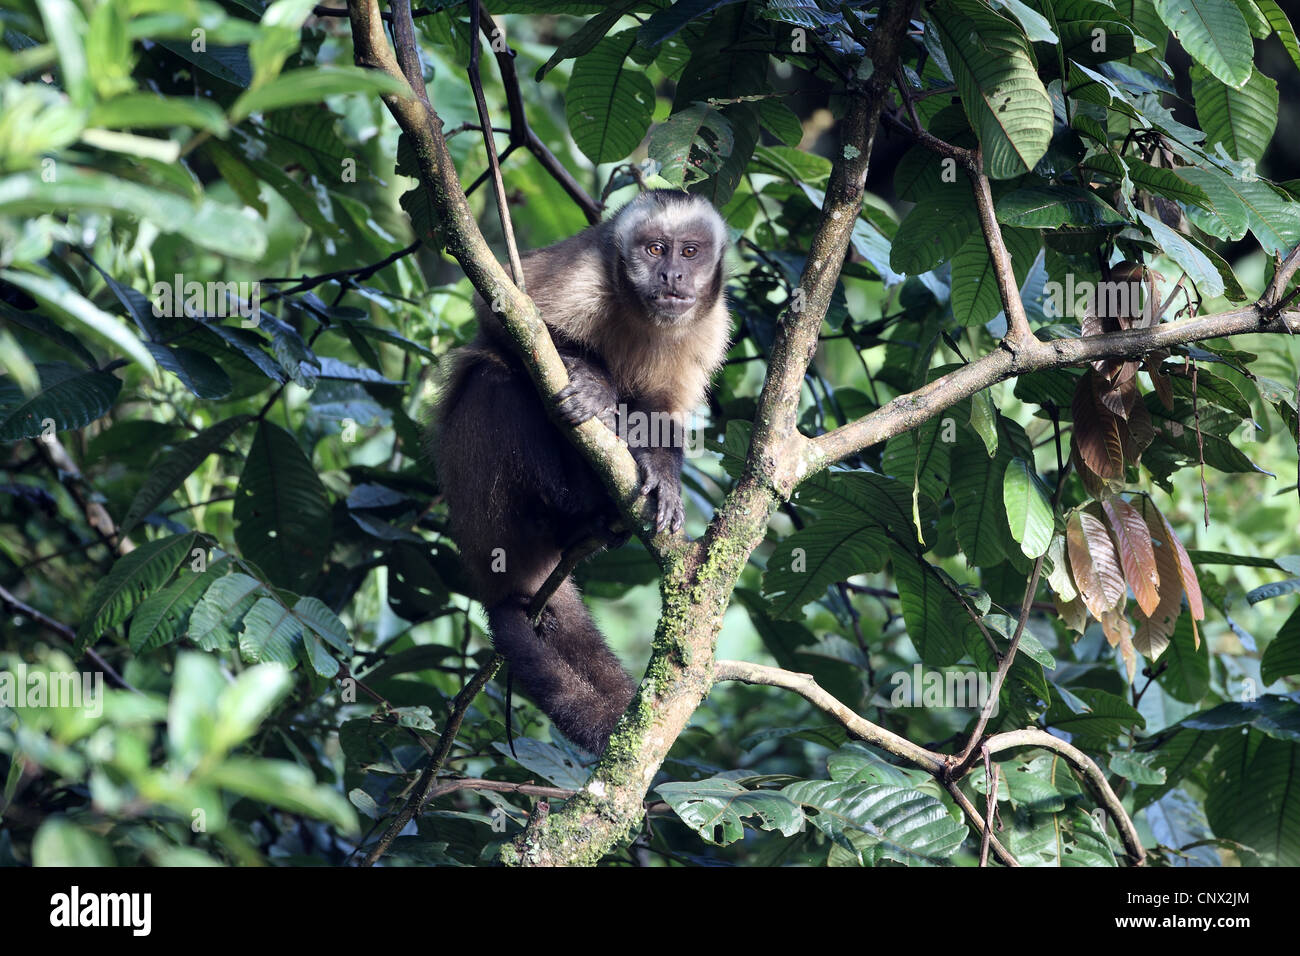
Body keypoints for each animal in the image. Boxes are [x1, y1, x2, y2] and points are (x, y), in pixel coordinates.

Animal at [432, 190, 731, 754]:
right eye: (655, 249)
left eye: (690, 251)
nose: (672, 275)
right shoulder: (582, 273)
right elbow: (501, 317)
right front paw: (596, 382)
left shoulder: (710, 325)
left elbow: (663, 413)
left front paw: (662, 472)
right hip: (485, 504)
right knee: (496, 378)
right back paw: (583, 510)